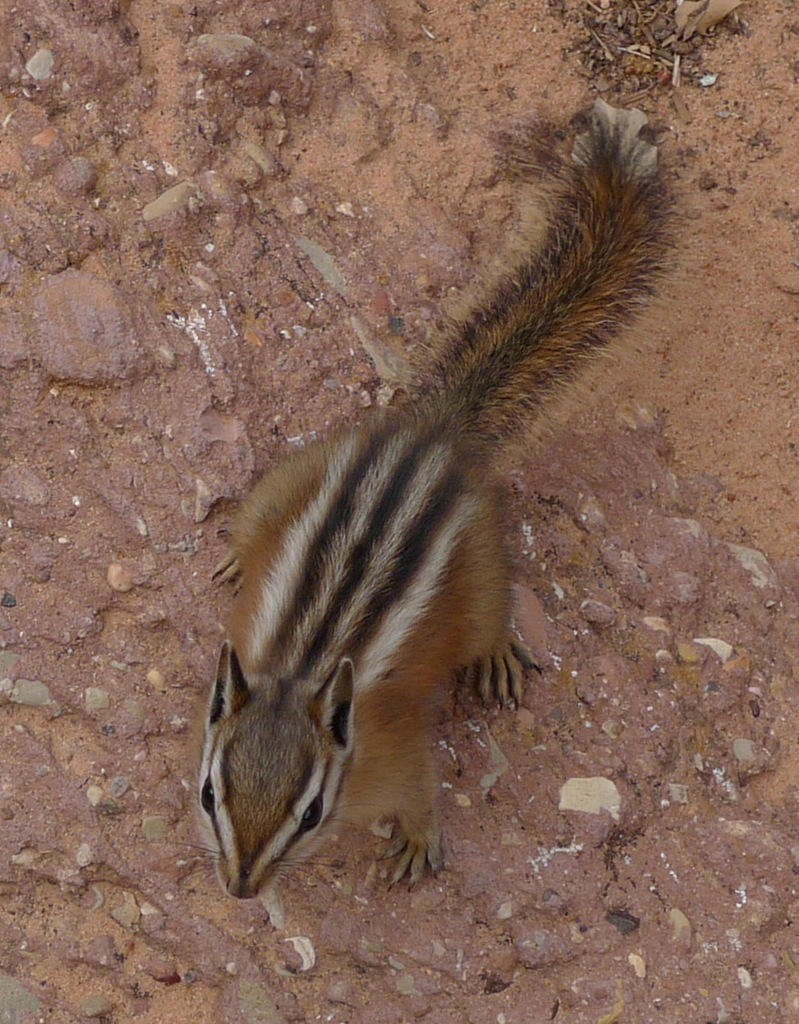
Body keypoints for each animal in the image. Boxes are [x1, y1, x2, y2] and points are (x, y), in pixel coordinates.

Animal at [198, 100, 669, 900]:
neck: (297, 676)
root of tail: (436, 433)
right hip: (290, 478)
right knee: (257, 518)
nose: (239, 890)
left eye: (310, 814)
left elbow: (419, 793)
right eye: (209, 795)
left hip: (476, 566)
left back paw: (498, 655)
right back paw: (235, 559)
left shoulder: (396, 756)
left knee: (490, 612)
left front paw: (417, 842)